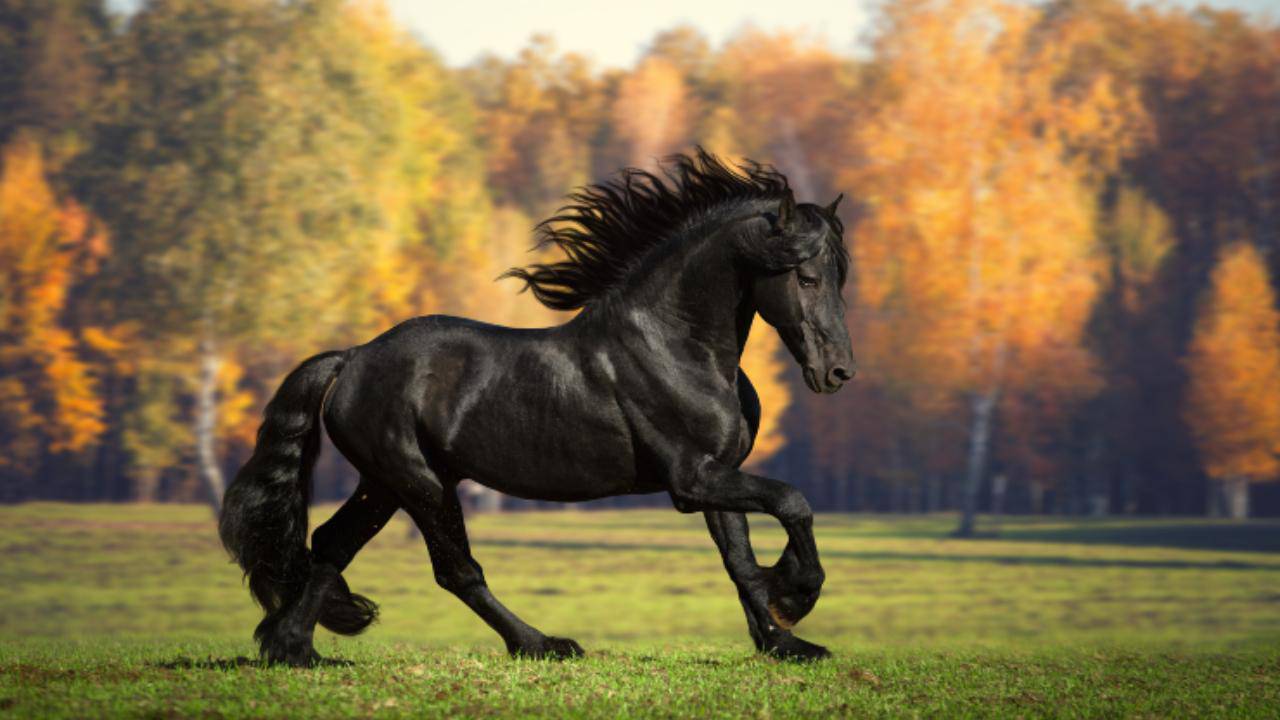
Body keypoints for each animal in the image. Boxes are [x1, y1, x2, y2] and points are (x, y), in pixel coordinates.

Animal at [217, 149, 855, 666]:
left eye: (839, 277)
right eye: (805, 276)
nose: (838, 372)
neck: (676, 345)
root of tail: (352, 359)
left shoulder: (716, 475)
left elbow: (739, 559)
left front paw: (785, 642)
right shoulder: (691, 478)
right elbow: (792, 502)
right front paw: (795, 593)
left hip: (384, 483)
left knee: (331, 546)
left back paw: (293, 649)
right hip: (420, 483)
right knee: (456, 570)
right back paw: (543, 644)